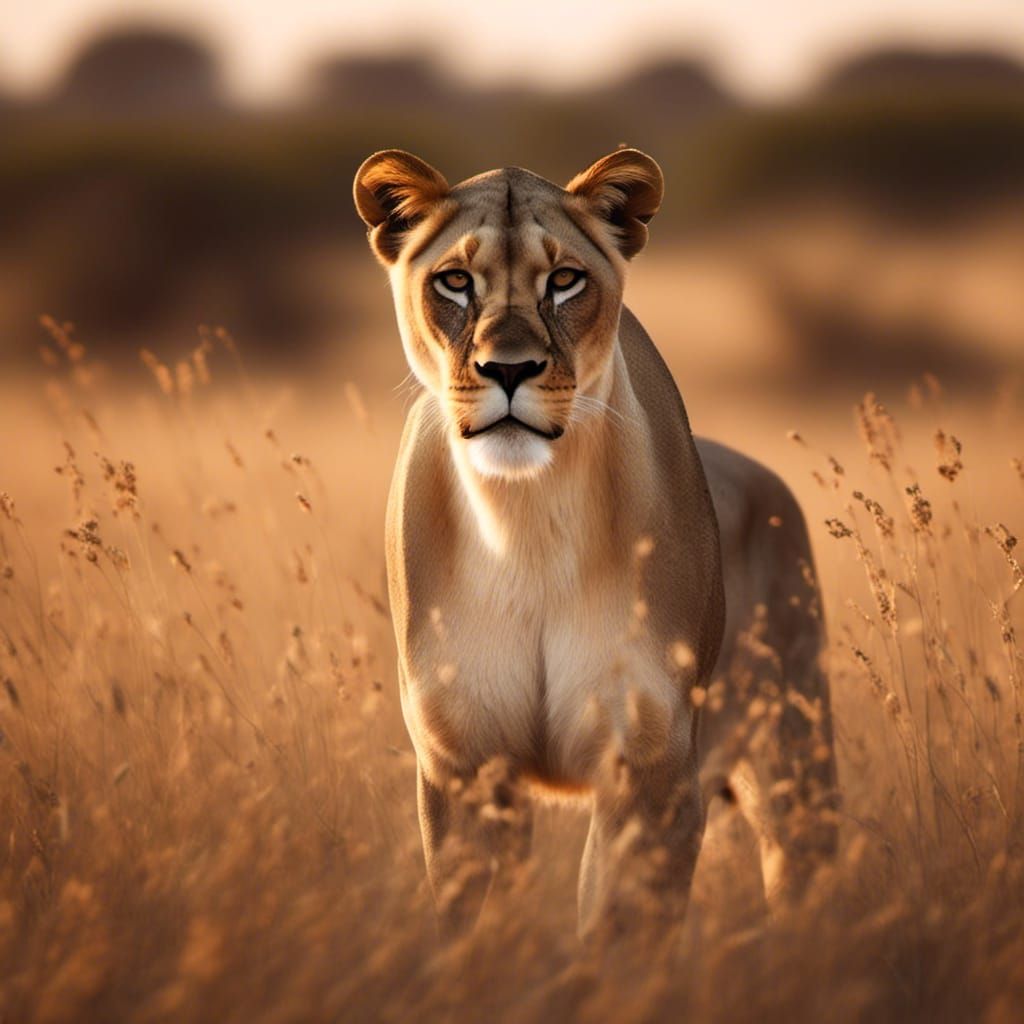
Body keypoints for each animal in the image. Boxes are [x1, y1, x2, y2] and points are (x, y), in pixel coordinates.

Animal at [352, 148, 838, 937]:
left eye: (564, 280)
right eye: (454, 281)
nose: (509, 369)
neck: (526, 517)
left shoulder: (653, 768)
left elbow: (622, 936)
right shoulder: (463, 763)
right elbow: (473, 931)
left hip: (797, 756)